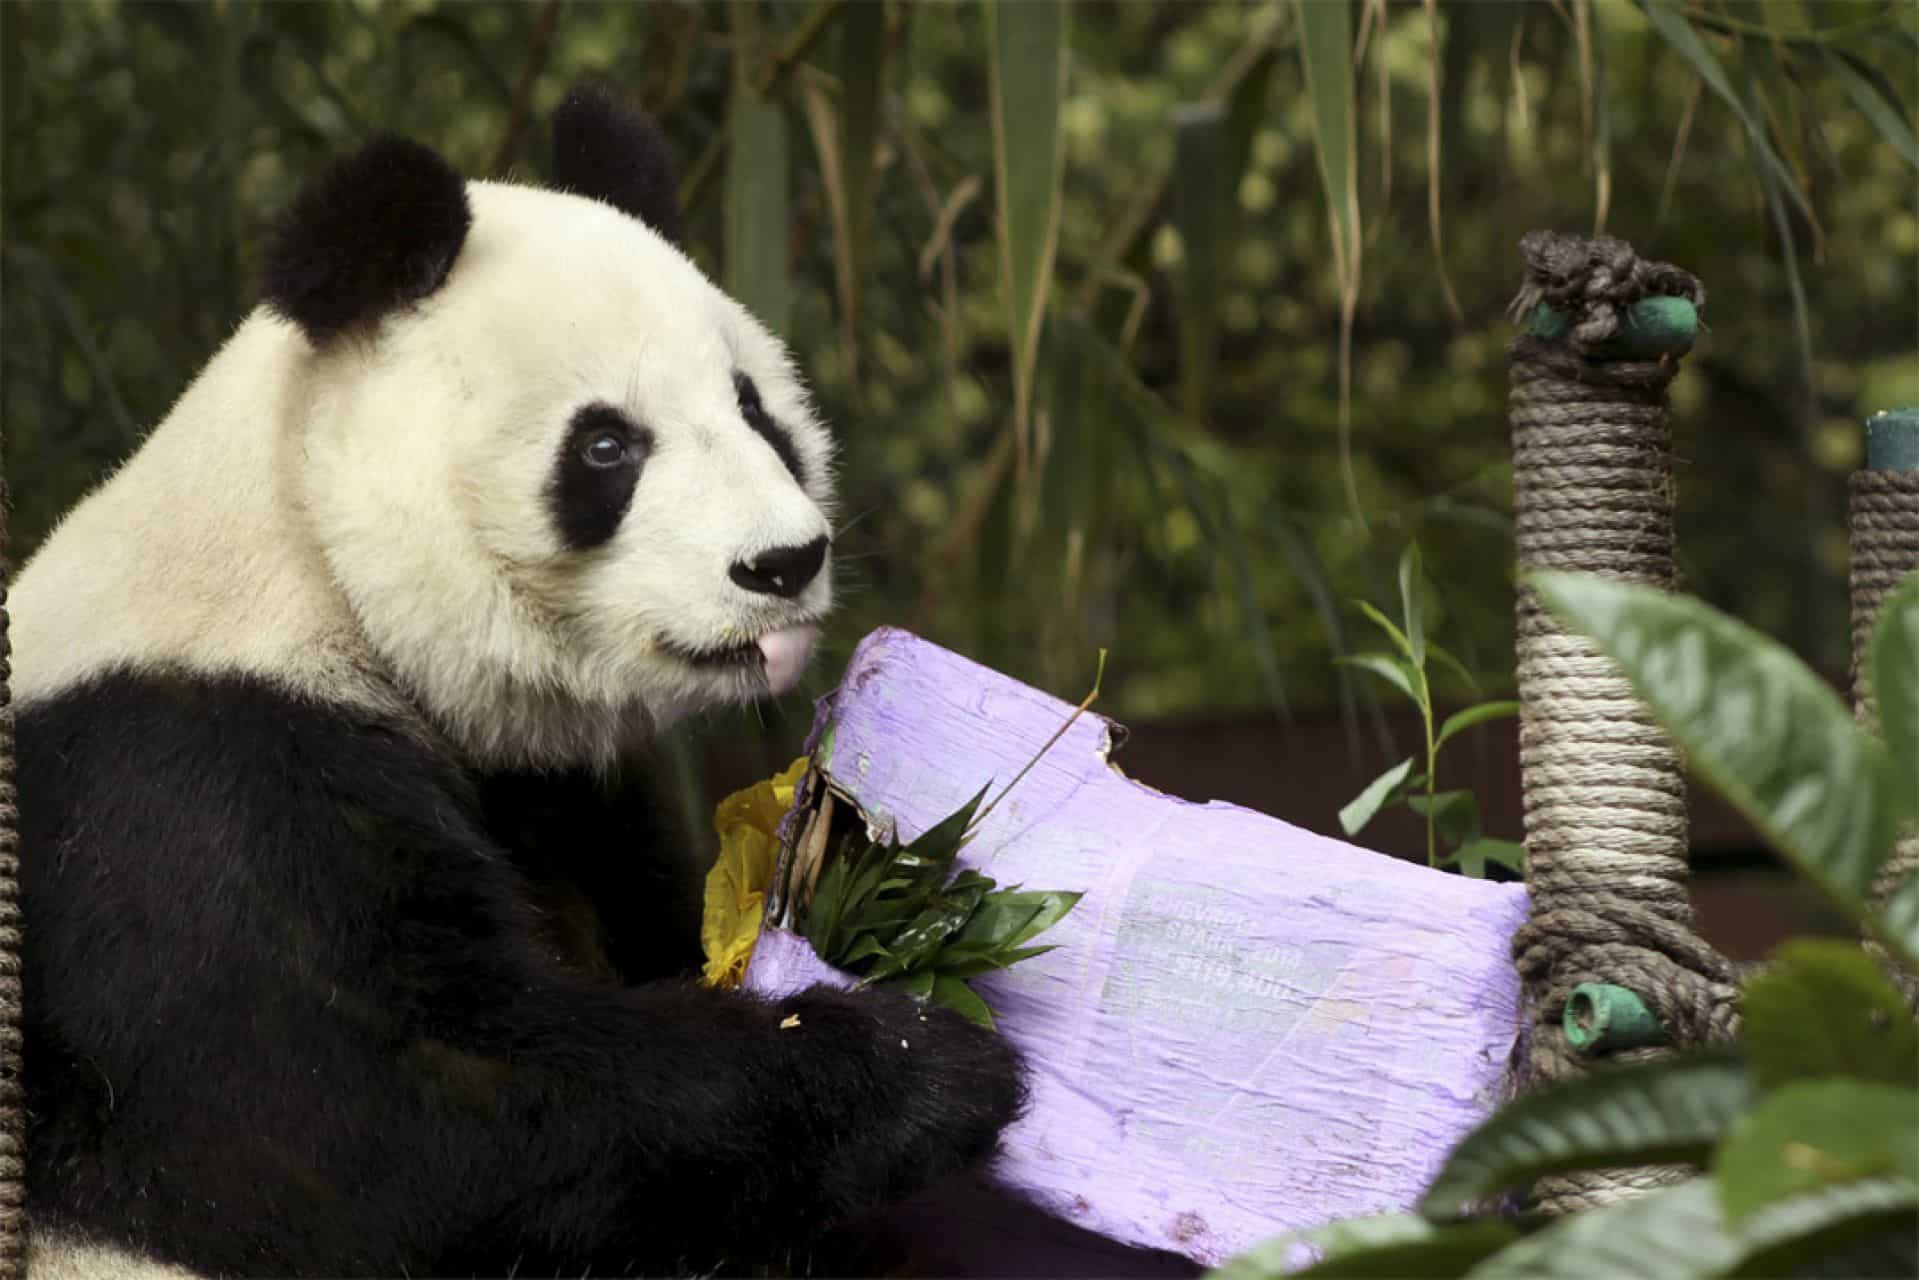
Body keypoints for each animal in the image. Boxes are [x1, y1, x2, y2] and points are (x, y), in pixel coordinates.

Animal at [13, 87, 1023, 1278]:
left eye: (754, 408)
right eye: (604, 446)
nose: (782, 564)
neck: (313, 566)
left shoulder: (561, 793)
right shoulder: (188, 792)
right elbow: (387, 1120)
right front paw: (918, 1057)